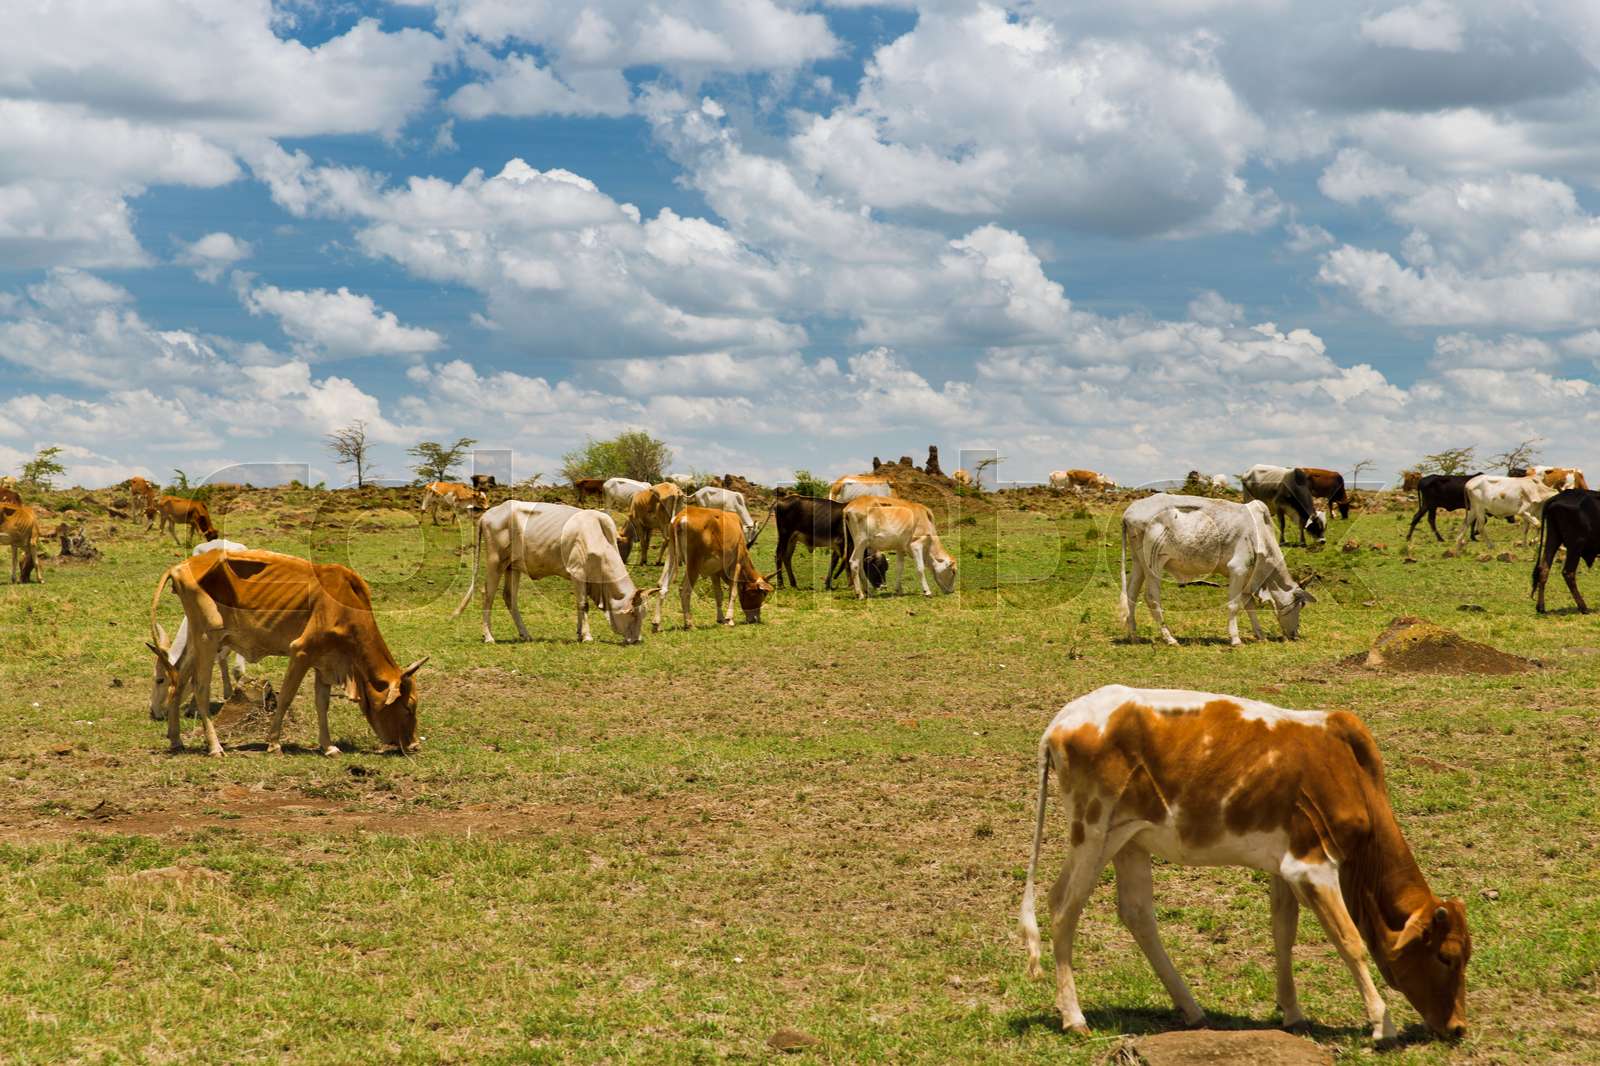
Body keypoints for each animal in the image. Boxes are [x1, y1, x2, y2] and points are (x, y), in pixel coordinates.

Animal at [455, 500, 654, 645]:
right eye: (633, 613)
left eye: (644, 614)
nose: (637, 640)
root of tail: (488, 514)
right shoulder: (578, 573)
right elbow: (583, 604)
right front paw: (587, 636)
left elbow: (578, 604)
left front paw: (579, 633)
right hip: (495, 562)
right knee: (487, 594)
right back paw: (489, 636)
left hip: (512, 567)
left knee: (509, 596)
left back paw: (525, 634)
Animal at [1019, 684, 1471, 1042]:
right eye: (1445, 956)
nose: (1458, 1027)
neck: (1348, 774)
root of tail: (1063, 719)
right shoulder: (1313, 865)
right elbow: (1350, 942)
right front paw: (1382, 1024)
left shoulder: (1285, 867)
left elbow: (1283, 933)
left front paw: (1293, 1013)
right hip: (1093, 832)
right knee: (1062, 907)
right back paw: (1074, 1017)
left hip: (1130, 839)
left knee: (1137, 913)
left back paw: (1192, 1008)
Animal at [1119, 494, 1314, 646]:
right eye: (1301, 604)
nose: (1295, 634)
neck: (1261, 534)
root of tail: (1129, 512)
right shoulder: (1238, 569)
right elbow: (1234, 605)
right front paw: (1235, 639)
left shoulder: (1247, 578)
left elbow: (1249, 604)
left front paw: (1260, 635)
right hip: (1154, 564)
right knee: (1151, 598)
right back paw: (1170, 639)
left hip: (1138, 563)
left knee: (1131, 595)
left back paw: (1134, 636)